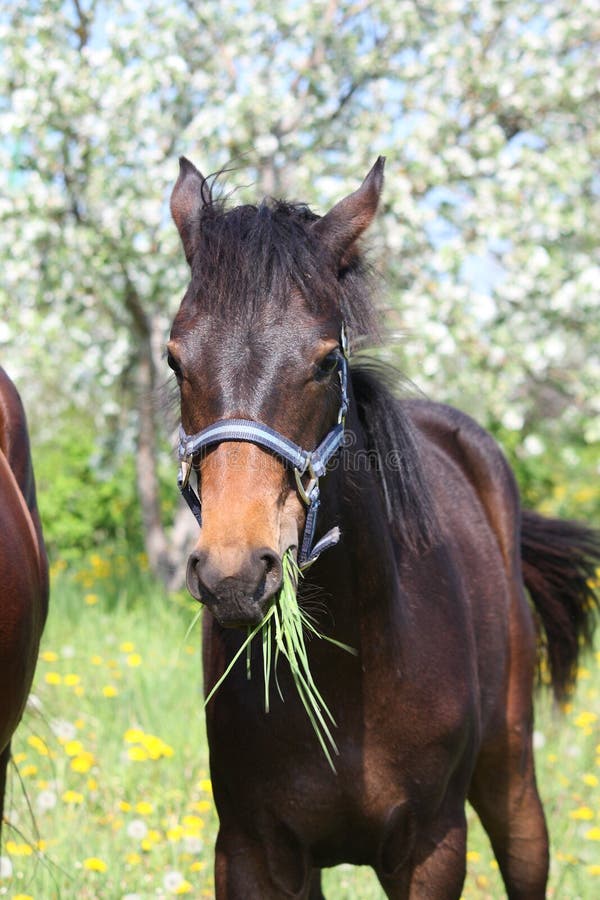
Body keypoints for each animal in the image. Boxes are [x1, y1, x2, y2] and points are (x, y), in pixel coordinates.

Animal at [168, 157, 599, 899]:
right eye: (174, 359)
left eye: (323, 362)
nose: (233, 574)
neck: (354, 666)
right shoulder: (252, 851)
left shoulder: (431, 848)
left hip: (512, 779)